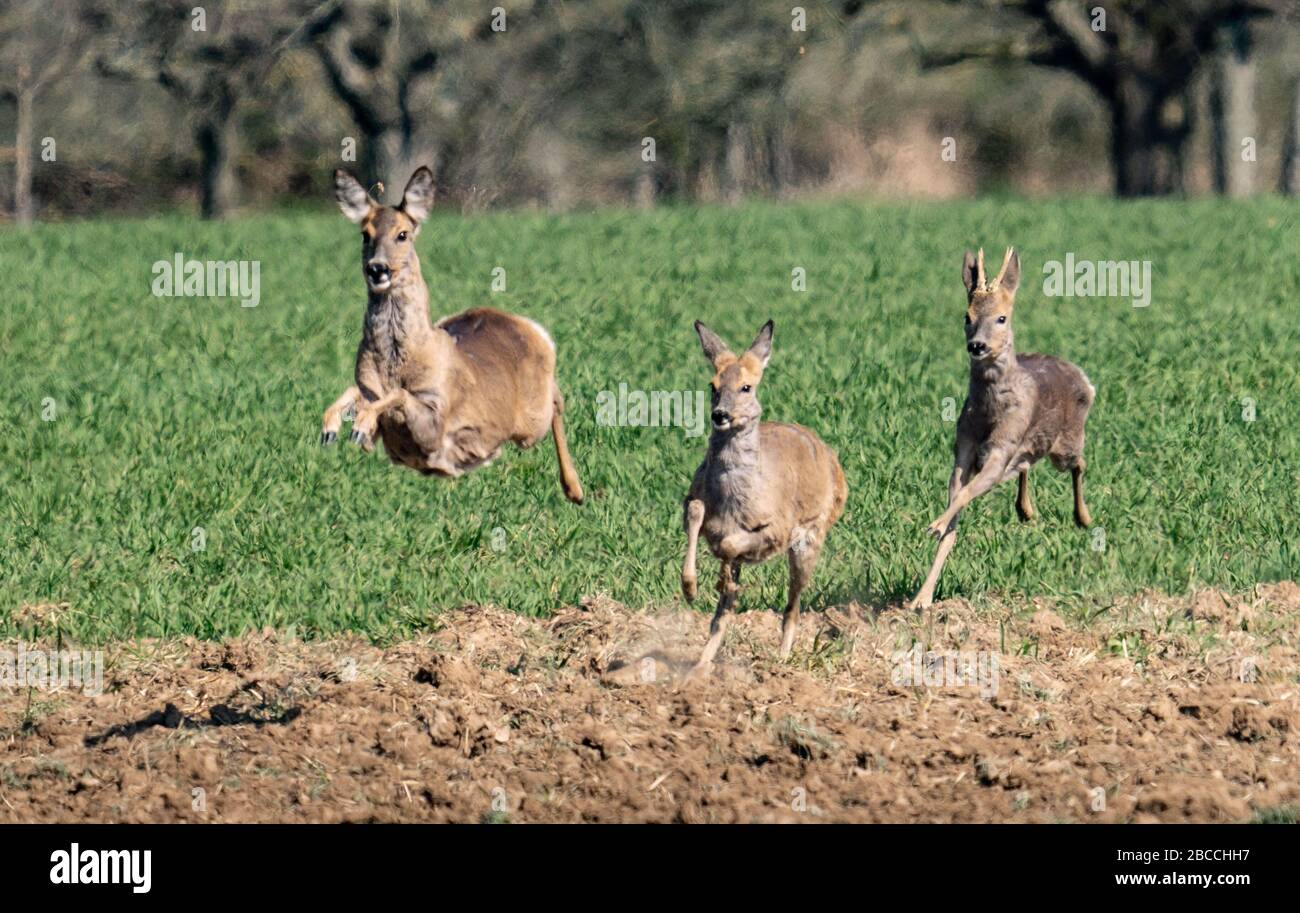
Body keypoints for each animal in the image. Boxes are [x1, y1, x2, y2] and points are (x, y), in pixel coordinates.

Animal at [319, 167, 584, 504]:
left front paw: (359, 427)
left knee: (556, 403)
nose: (377, 269)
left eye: (403, 234)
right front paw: (331, 427)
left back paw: (575, 490)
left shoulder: (436, 421)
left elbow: (398, 395)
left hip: (531, 421)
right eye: (365, 234)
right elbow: (358, 392)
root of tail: (528, 326)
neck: (400, 362)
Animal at [680, 320, 847, 677]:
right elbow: (696, 514)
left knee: (793, 604)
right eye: (713, 385)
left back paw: (782, 660)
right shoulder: (693, 499)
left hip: (812, 537)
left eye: (747, 387)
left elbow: (731, 544)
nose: (720, 415)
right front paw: (691, 588)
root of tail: (833, 461)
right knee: (721, 619)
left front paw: (719, 577)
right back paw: (701, 665)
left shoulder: (778, 529)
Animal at [907, 247, 1095, 611]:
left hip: (1065, 444)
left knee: (1079, 463)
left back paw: (1083, 518)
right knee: (1026, 465)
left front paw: (934, 525)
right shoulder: (964, 450)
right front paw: (922, 598)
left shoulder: (1000, 450)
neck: (988, 415)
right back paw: (1025, 511)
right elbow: (956, 508)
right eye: (966, 316)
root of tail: (1082, 376)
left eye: (1002, 318)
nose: (977, 345)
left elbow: (965, 495)